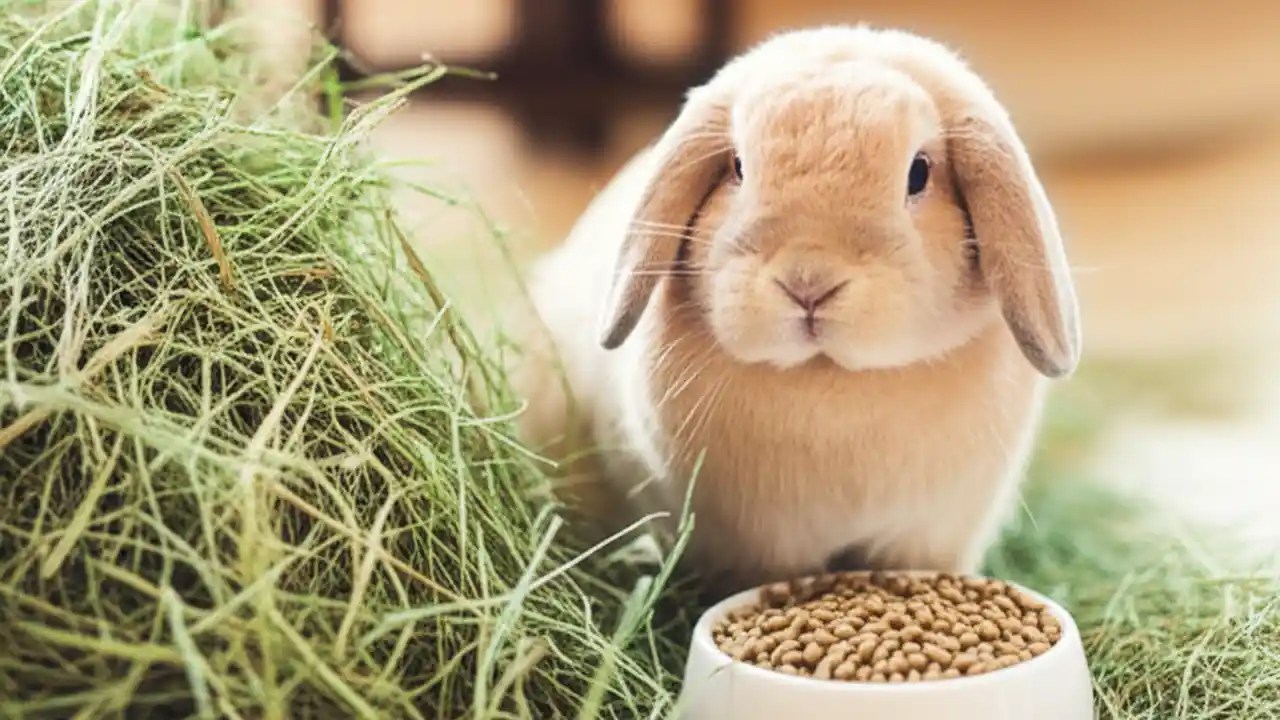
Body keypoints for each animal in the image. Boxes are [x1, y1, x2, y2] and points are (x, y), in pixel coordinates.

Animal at [511, 25, 1080, 593]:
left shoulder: (931, 535)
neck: (829, 379)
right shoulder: (755, 546)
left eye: (919, 173)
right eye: (738, 168)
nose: (808, 282)